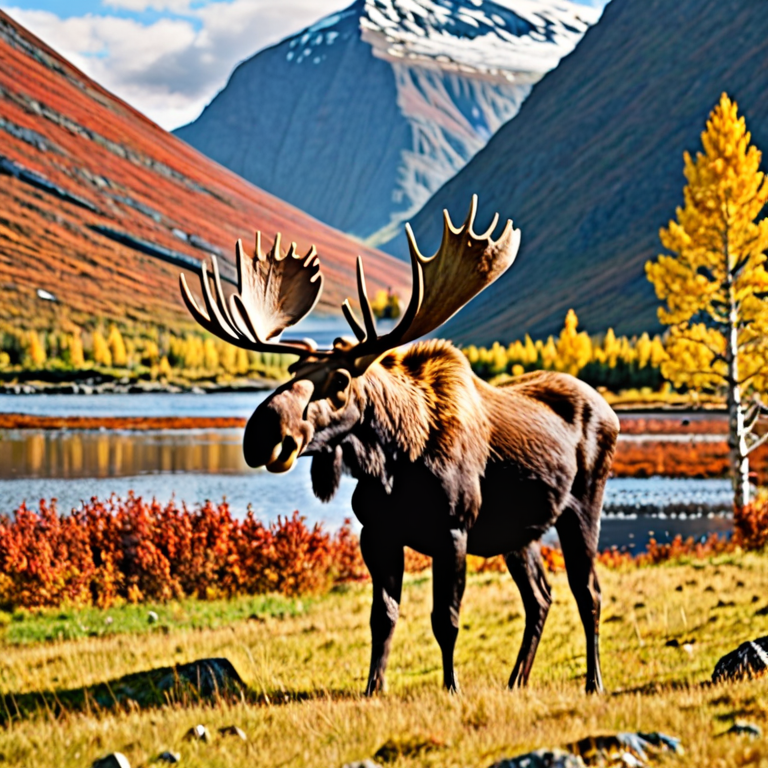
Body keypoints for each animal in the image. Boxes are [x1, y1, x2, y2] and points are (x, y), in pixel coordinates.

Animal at [179, 196, 620, 695]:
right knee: (540, 598)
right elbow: (383, 617)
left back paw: (594, 682)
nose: (262, 433)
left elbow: (445, 619)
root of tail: (612, 413)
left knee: (589, 593)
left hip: (582, 508)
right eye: (292, 372)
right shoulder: (378, 534)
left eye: (341, 381)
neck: (391, 463)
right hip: (517, 533)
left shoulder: (453, 532)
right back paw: (516, 681)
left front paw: (451, 687)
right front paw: (374, 688)